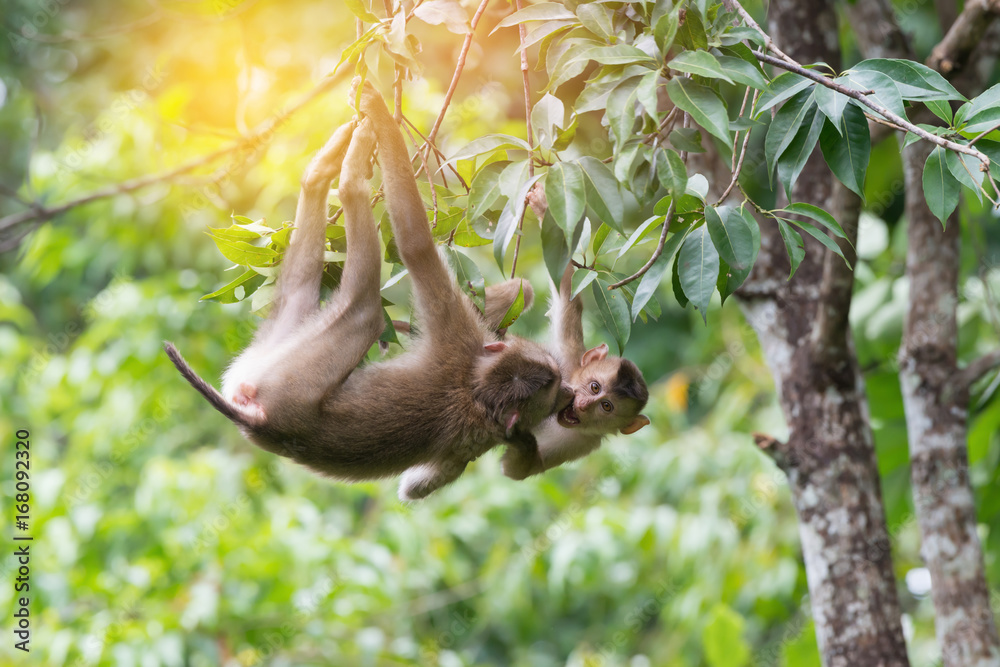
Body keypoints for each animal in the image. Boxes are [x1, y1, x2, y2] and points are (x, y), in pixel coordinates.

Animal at [165, 80, 572, 501]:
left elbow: (414, 244)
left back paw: (347, 179)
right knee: (314, 304)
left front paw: (377, 113)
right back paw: (326, 170)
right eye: (556, 382)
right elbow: (417, 488)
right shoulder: (469, 359)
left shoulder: (461, 344)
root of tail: (261, 422)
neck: (477, 391)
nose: (570, 394)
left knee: (363, 312)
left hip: (284, 379)